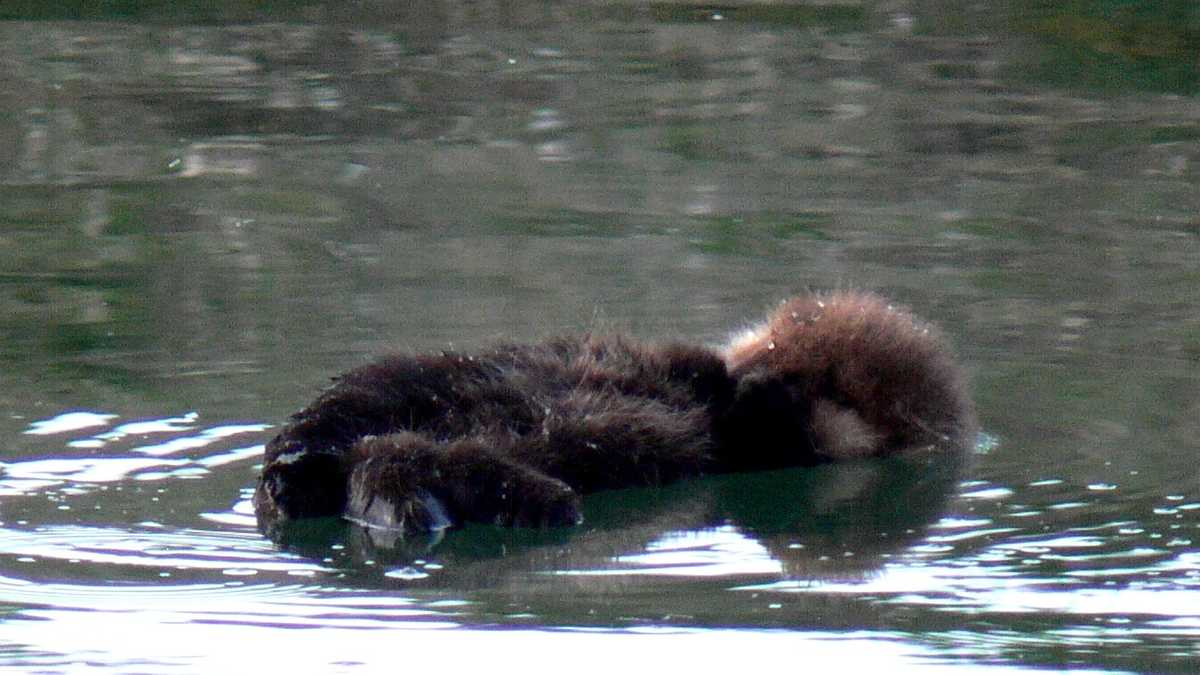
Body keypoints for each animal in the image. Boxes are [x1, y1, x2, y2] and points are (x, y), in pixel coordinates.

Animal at [254, 291, 975, 537]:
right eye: (772, 339)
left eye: (830, 381)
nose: (753, 371)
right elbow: (687, 364)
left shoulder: (774, 448)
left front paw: (763, 396)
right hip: (407, 378)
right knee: (367, 404)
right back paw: (300, 457)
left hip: (443, 455)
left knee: (422, 463)